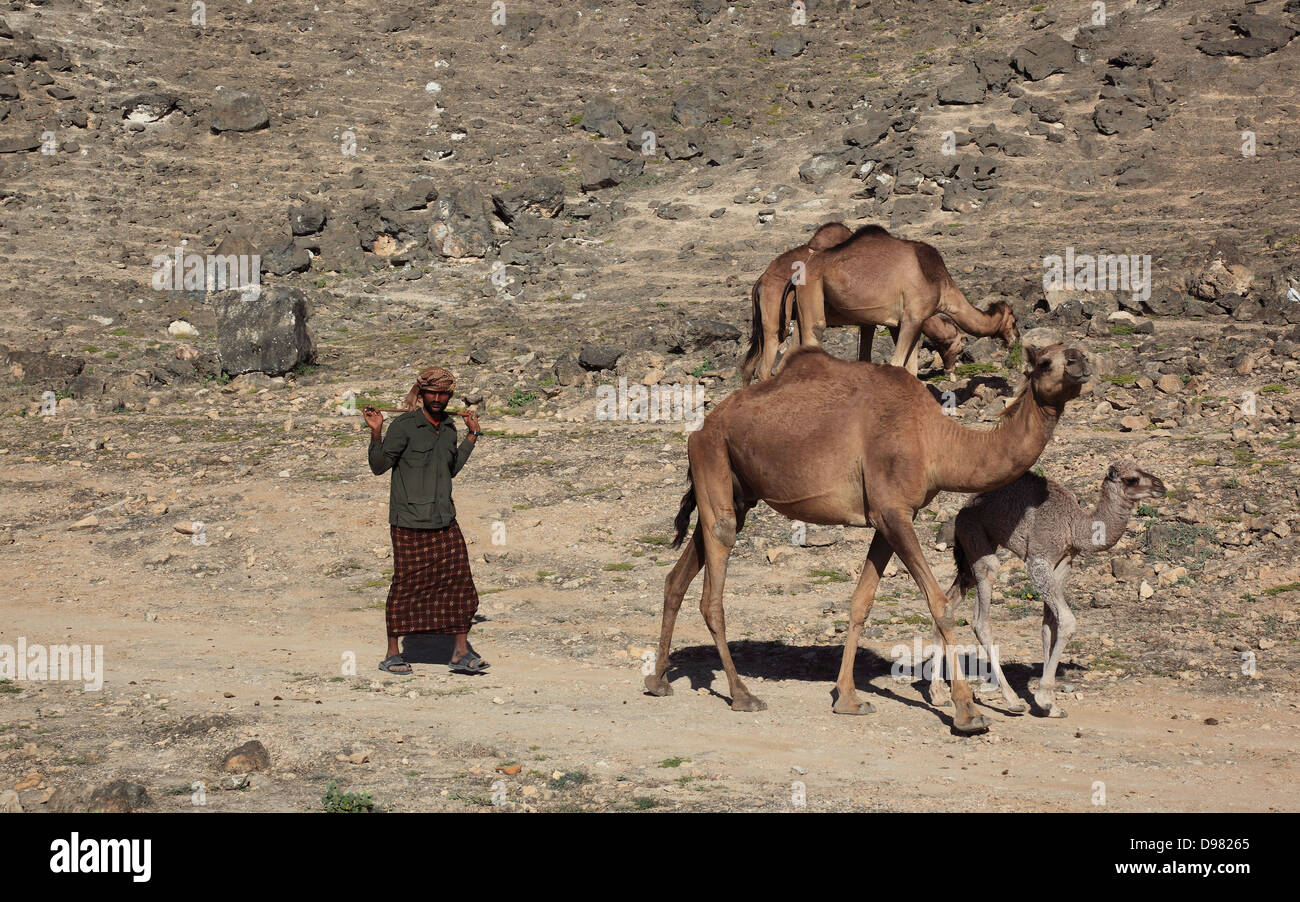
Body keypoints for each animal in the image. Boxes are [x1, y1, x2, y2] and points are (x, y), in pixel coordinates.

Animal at [646, 338, 1091, 734]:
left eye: (1077, 350)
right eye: (1046, 361)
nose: (1081, 361)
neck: (936, 440)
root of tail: (699, 429)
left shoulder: (890, 517)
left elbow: (862, 602)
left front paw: (847, 698)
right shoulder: (893, 512)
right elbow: (941, 604)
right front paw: (967, 713)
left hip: (737, 492)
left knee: (676, 576)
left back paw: (659, 680)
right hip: (714, 461)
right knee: (712, 588)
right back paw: (742, 695)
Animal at [740, 223, 967, 384]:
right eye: (959, 348)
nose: (952, 372)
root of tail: (762, 280)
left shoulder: (867, 321)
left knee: (750, 366)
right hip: (776, 321)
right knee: (766, 363)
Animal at [783, 225, 1018, 376]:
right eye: (1014, 321)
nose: (1015, 339)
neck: (940, 283)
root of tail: (800, 271)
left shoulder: (906, 322)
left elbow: (911, 369)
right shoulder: (913, 317)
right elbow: (897, 363)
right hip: (812, 289)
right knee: (815, 332)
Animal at [930, 460, 1166, 718]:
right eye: (1132, 479)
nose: (1161, 486)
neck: (1074, 526)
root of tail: (962, 510)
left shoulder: (1063, 564)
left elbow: (1048, 627)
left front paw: (1052, 703)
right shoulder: (1037, 561)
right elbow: (1068, 621)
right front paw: (1043, 699)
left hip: (972, 553)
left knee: (949, 602)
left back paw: (938, 694)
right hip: (976, 538)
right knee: (981, 614)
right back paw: (1012, 701)